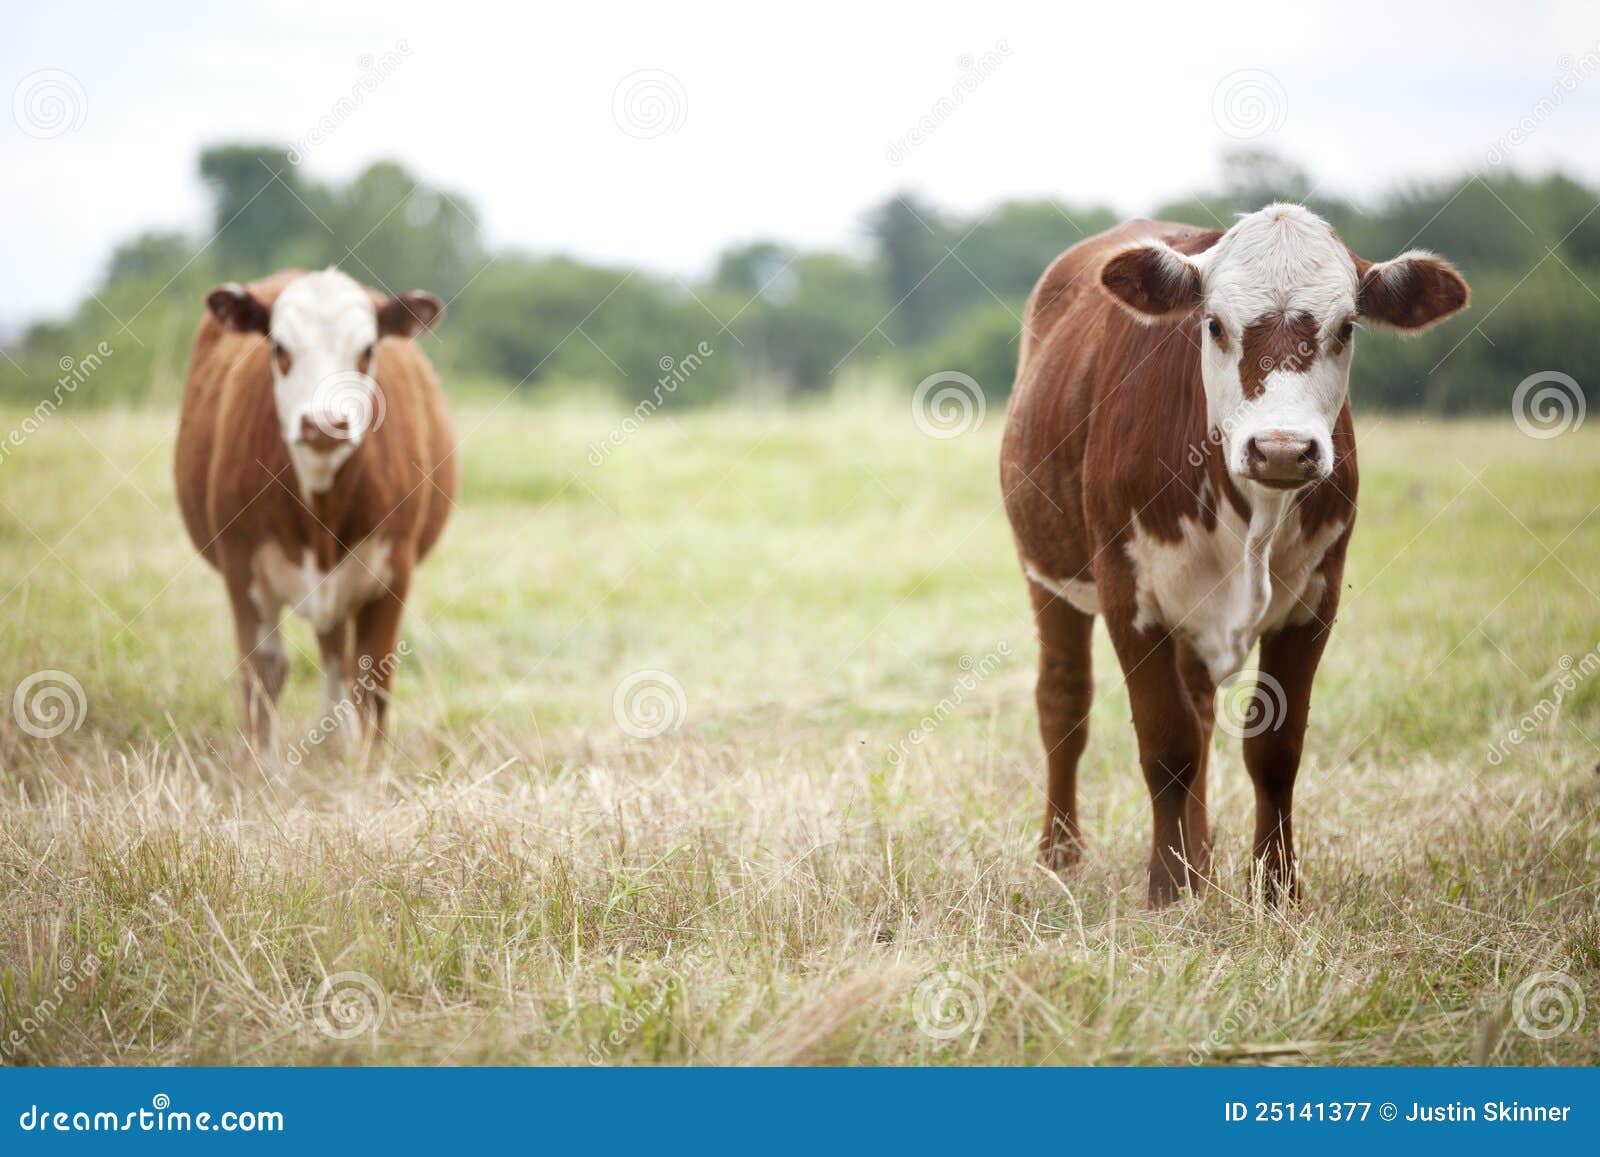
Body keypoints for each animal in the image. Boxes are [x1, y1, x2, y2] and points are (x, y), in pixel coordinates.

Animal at [175, 268, 456, 751]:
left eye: (368, 349)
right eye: (279, 348)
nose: (325, 422)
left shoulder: (395, 571)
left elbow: (373, 680)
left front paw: (369, 767)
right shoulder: (240, 566)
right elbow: (263, 675)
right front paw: (260, 765)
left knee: (336, 658)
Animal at [1001, 204, 1469, 905]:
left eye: (1346, 327)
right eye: (1215, 324)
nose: (1281, 449)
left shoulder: (1317, 598)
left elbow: (1273, 748)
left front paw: (1275, 887)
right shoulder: (1127, 591)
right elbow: (1165, 741)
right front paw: (1167, 889)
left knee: (1198, 710)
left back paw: (1199, 855)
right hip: (1049, 576)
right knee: (1064, 704)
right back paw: (1063, 853)